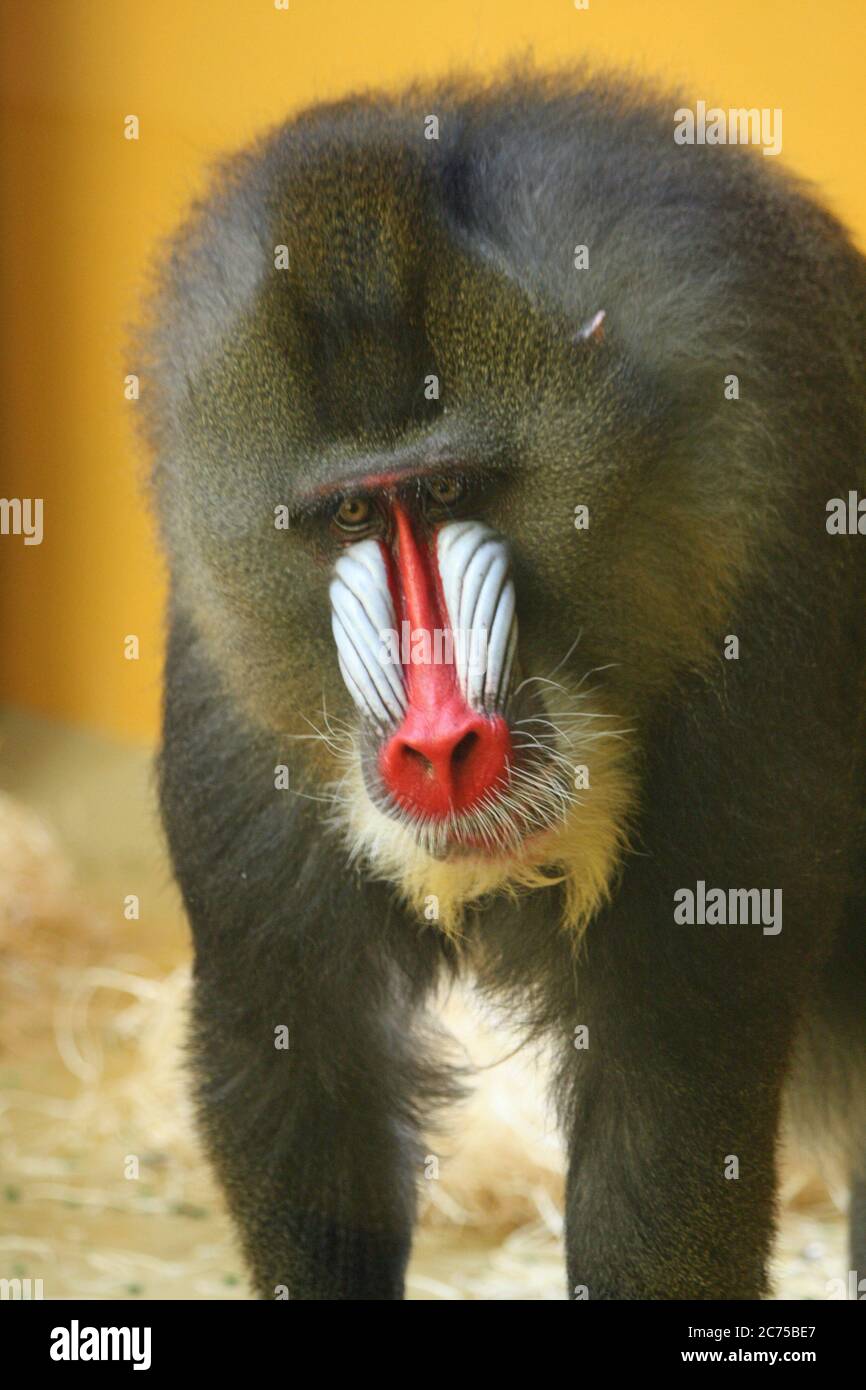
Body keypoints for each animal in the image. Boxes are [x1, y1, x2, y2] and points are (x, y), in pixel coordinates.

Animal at [136, 68, 866, 1300]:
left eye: (446, 491)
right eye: (349, 513)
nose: (438, 747)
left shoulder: (767, 619)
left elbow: (665, 1118)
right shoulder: (236, 706)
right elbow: (308, 1068)